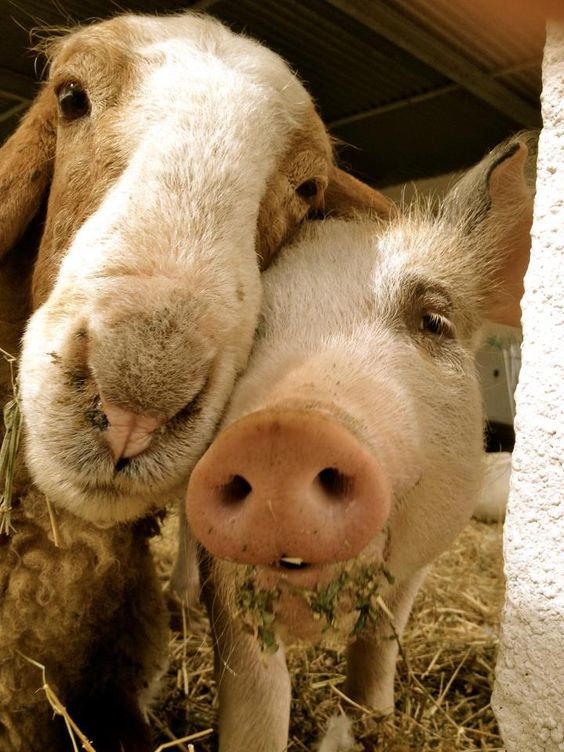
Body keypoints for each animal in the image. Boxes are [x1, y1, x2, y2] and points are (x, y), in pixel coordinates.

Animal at [185, 132, 535, 751]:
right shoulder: (216, 566)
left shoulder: (422, 556)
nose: (282, 434)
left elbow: (380, 638)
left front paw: (374, 717)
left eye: (434, 320)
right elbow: (255, 687)